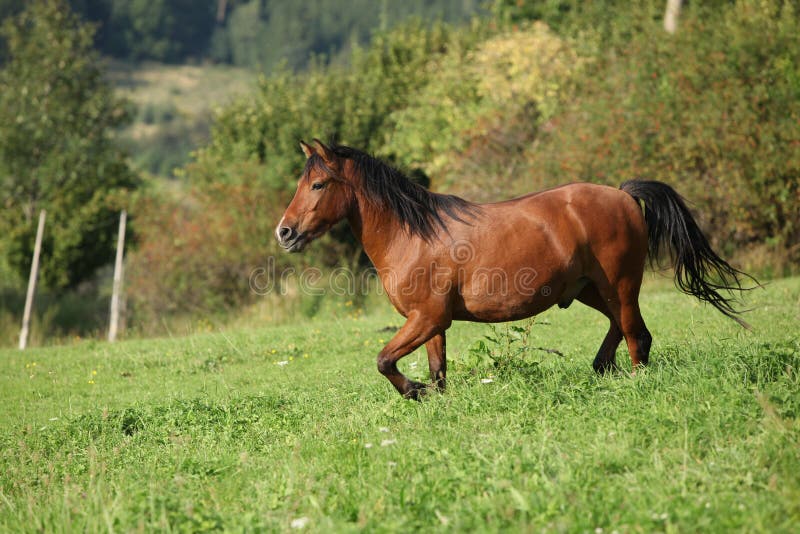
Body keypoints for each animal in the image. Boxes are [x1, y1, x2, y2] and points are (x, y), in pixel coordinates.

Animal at [276, 139, 752, 399]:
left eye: (318, 184)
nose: (284, 232)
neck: (412, 234)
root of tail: (622, 194)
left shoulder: (427, 317)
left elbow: (383, 360)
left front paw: (414, 392)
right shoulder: (432, 323)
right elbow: (438, 372)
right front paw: (431, 396)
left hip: (620, 285)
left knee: (638, 336)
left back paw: (632, 382)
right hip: (590, 290)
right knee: (622, 328)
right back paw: (601, 368)